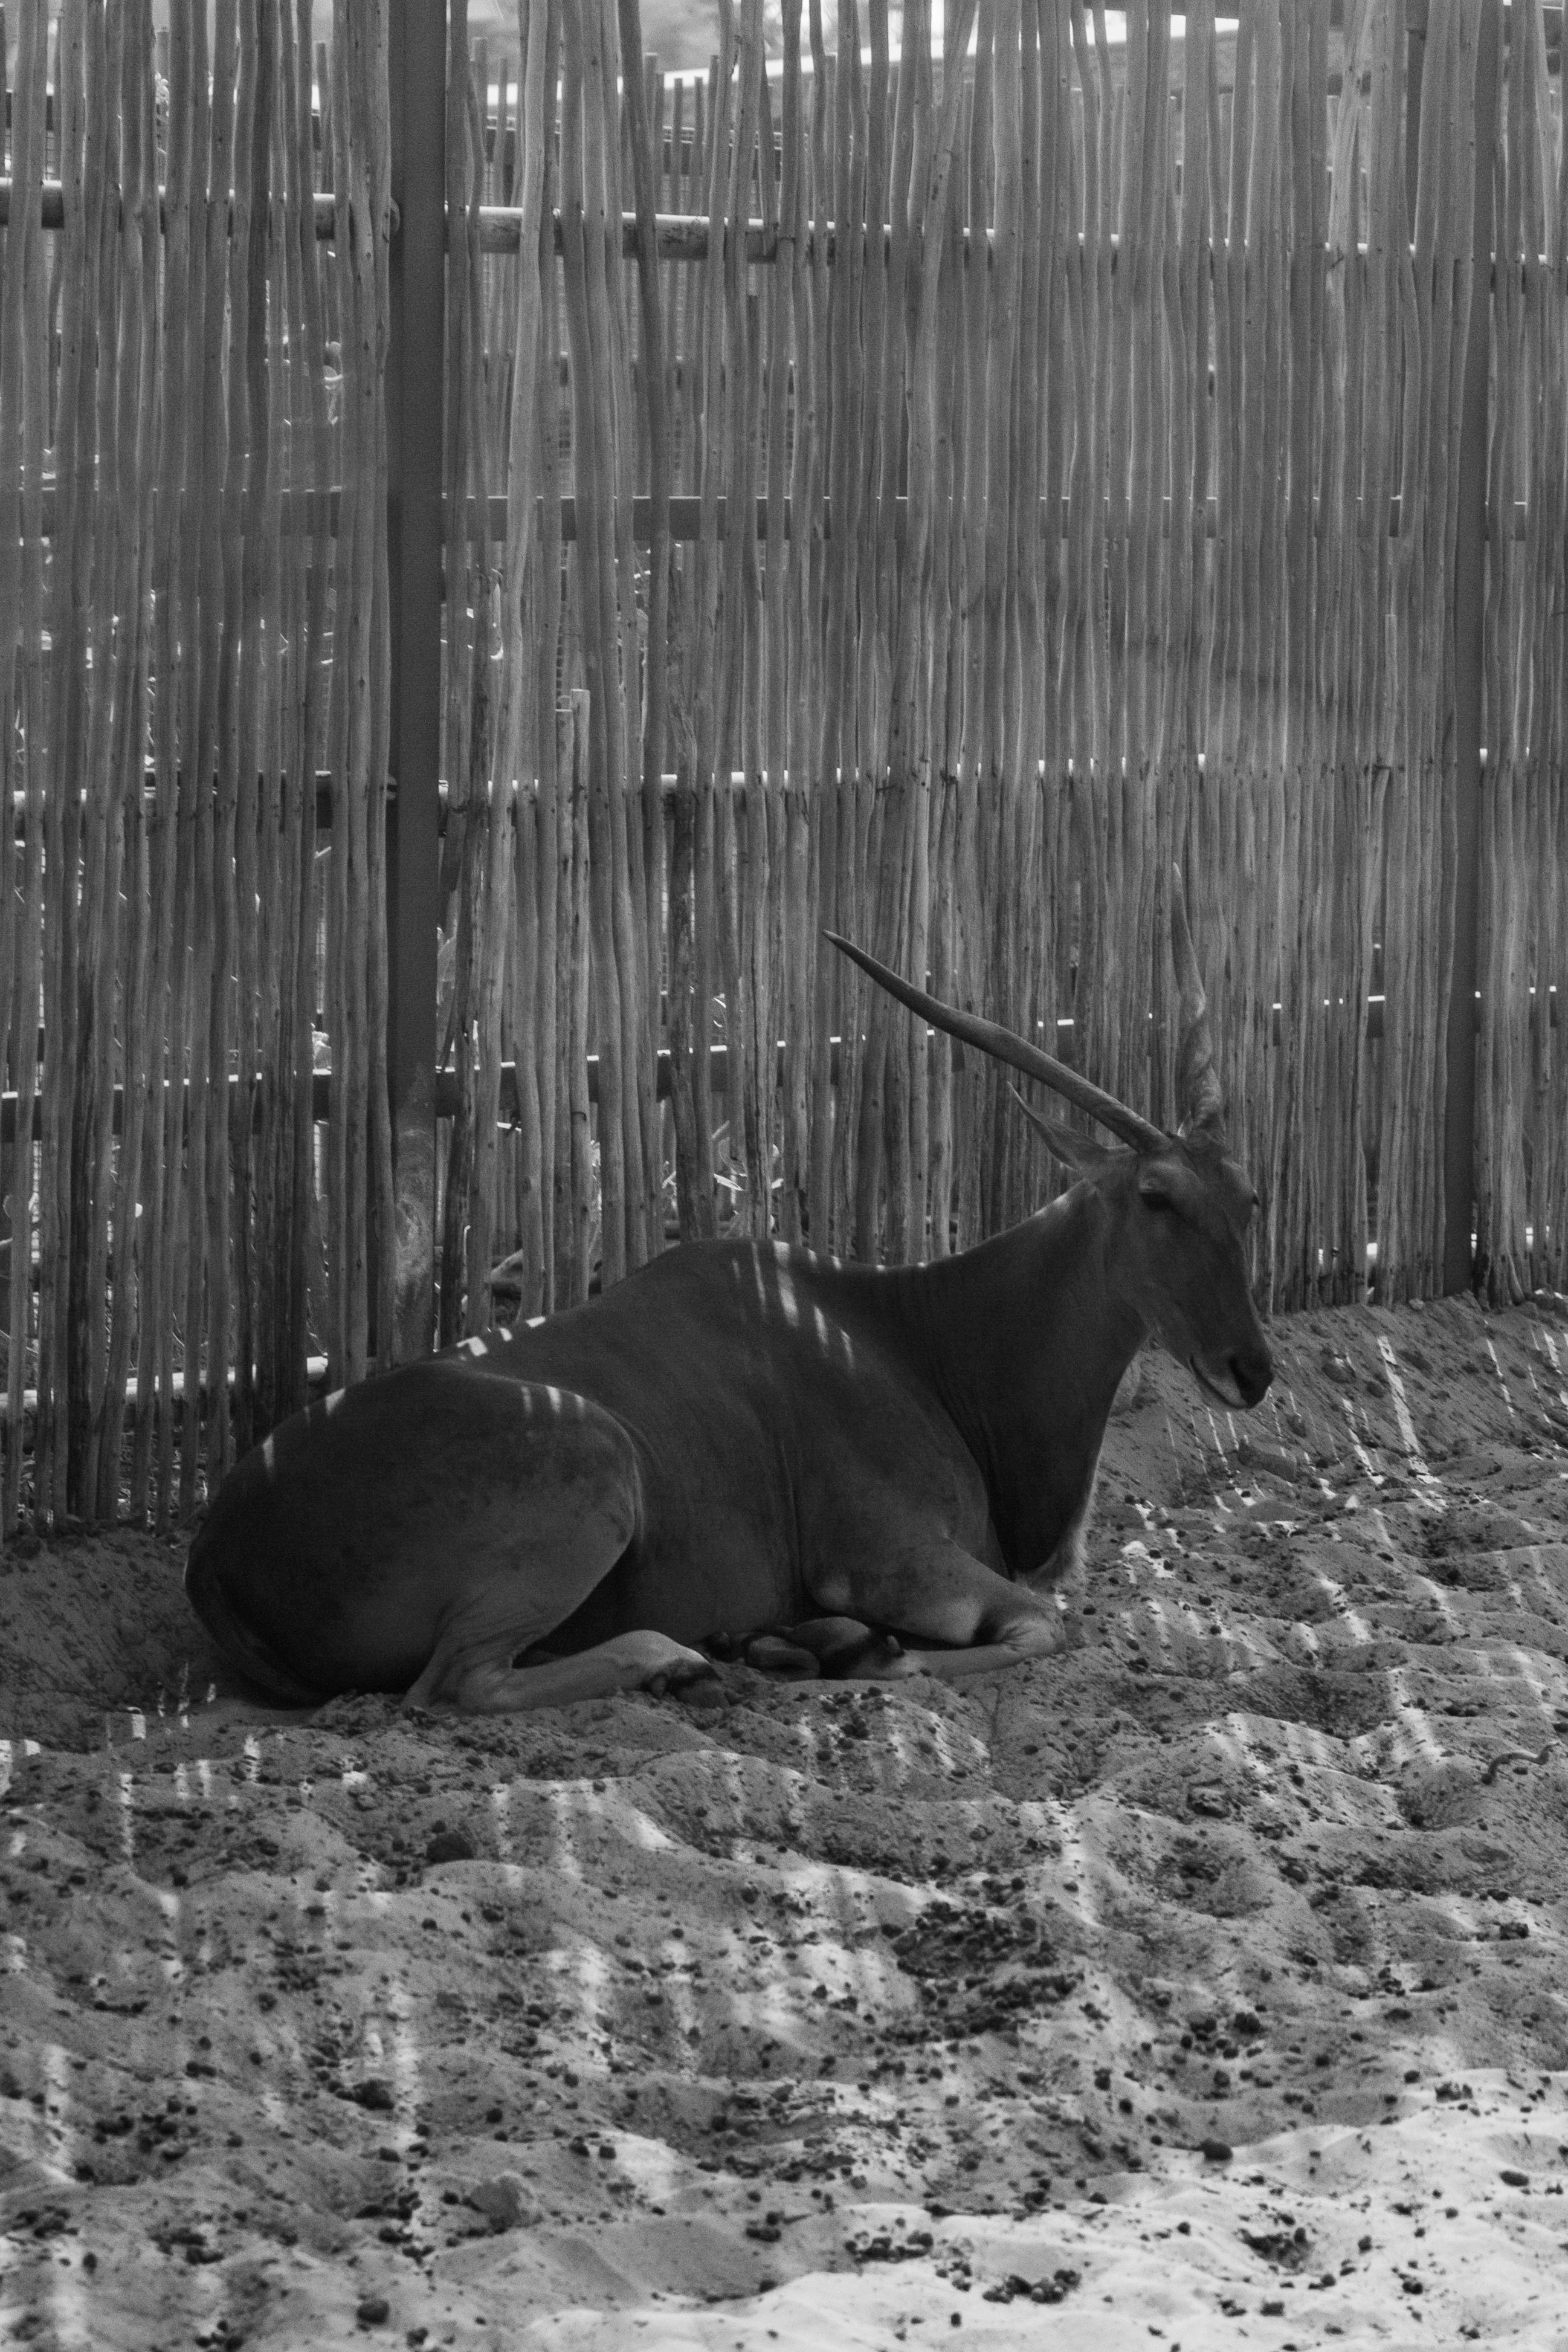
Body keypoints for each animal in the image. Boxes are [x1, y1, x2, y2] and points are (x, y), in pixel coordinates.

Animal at [187, 871, 1272, 1713]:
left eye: (1249, 1198)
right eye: (1156, 1195)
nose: (1250, 1369)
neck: (913, 1334)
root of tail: (217, 1556)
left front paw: (804, 1643)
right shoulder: (887, 1557)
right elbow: (1041, 1627)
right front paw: (841, 1653)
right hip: (598, 1469)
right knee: (455, 1684)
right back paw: (688, 1660)